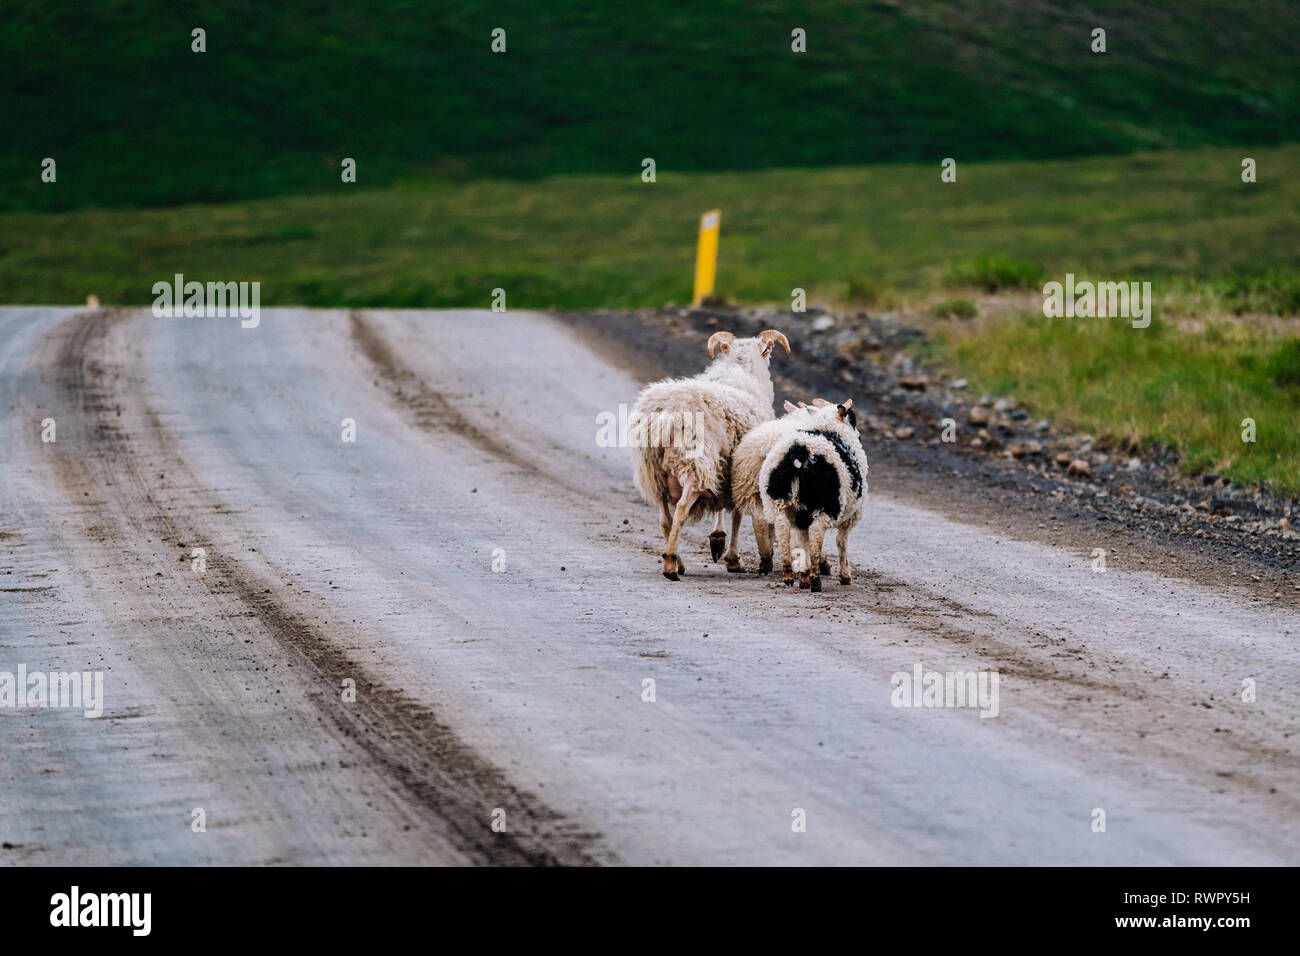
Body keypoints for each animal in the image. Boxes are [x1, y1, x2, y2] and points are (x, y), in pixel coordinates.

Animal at [630, 328, 791, 580]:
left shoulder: (725, 467)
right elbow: (737, 516)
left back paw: (677, 561)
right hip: (694, 465)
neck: (741, 371)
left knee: (664, 520)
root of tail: (665, 415)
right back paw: (671, 565)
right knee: (681, 510)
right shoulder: (740, 469)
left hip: (654, 472)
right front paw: (733, 559)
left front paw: (718, 538)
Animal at [759, 398, 868, 592]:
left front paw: (803, 575)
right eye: (853, 418)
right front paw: (845, 576)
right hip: (828, 503)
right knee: (816, 532)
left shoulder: (801, 515)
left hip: (779, 502)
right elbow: (841, 542)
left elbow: (803, 541)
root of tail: (800, 452)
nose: (859, 435)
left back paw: (790, 575)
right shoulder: (850, 516)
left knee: (783, 531)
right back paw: (815, 580)